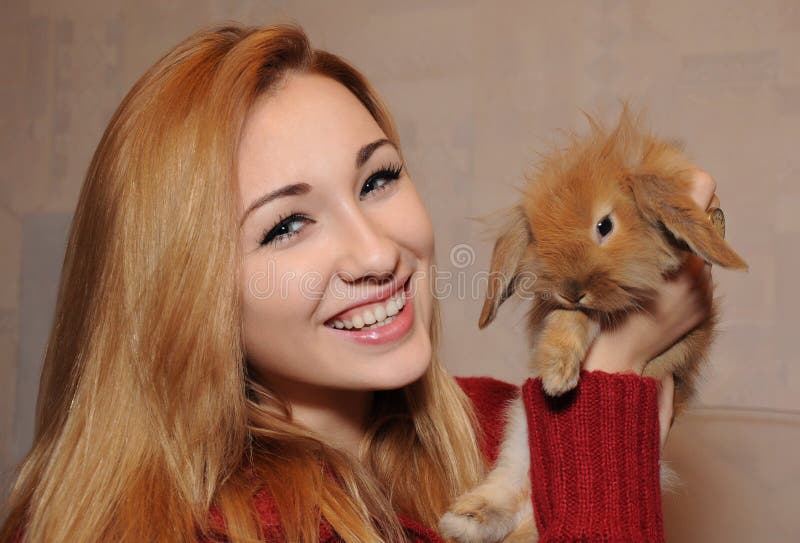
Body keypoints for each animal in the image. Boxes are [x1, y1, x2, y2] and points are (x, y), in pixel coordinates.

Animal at [439, 105, 748, 543]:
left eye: (605, 225)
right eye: (538, 237)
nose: (570, 289)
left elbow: (592, 312)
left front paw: (556, 375)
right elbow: (574, 317)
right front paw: (557, 376)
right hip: (519, 430)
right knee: (508, 489)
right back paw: (466, 518)